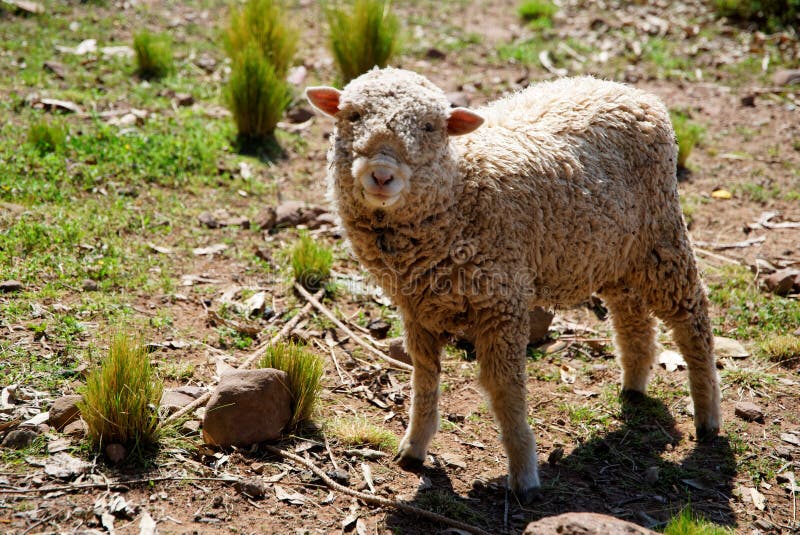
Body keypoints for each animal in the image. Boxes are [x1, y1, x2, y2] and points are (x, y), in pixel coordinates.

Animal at [305, 68, 720, 502]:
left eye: (430, 127)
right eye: (352, 116)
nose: (382, 174)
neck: (461, 188)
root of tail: (627, 90)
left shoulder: (502, 304)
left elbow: (506, 390)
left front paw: (523, 472)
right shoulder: (418, 309)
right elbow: (425, 377)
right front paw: (414, 445)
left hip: (662, 239)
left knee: (693, 320)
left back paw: (707, 416)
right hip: (611, 252)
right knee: (632, 316)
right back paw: (635, 384)